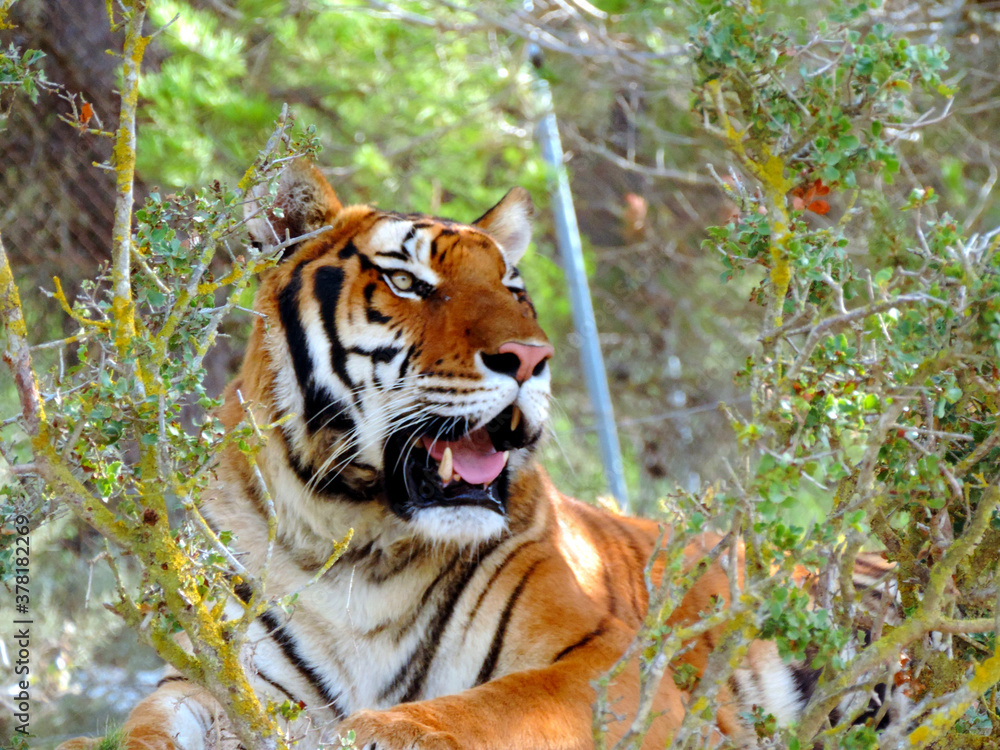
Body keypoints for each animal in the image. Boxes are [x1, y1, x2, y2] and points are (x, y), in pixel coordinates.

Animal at [56, 160, 887, 750]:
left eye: (514, 289)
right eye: (405, 280)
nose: (532, 358)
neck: (355, 537)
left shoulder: (607, 661)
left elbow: (500, 706)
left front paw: (385, 733)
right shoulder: (215, 672)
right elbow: (149, 720)